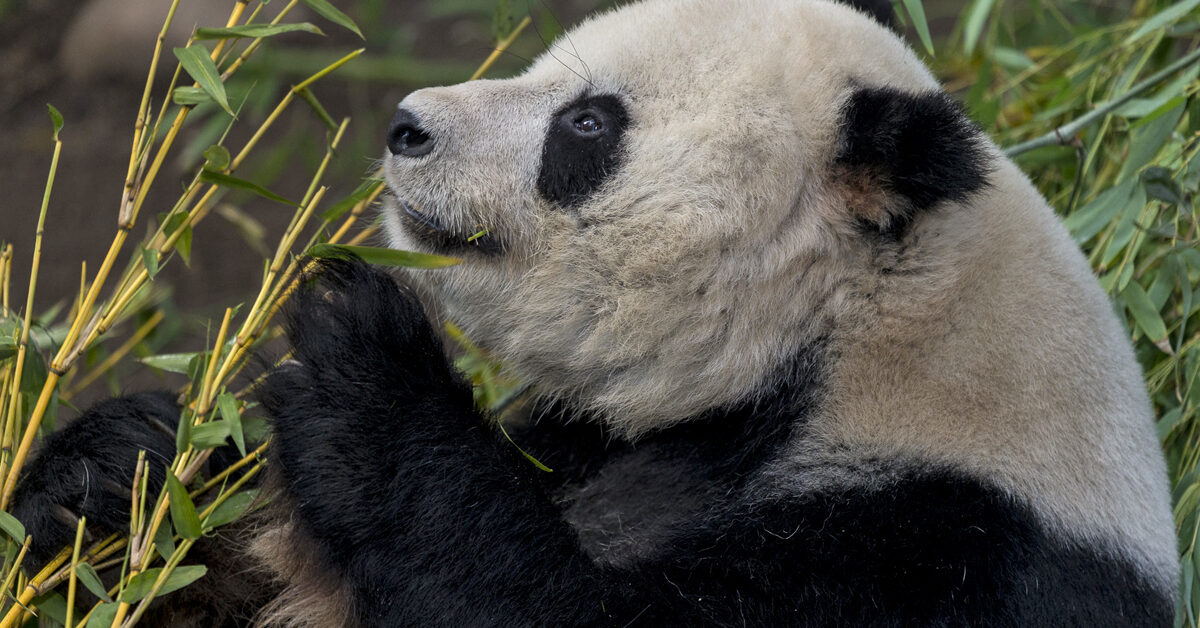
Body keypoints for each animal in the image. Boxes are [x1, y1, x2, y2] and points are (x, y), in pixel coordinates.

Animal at [11, 0, 1178, 625]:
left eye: (586, 123)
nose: (405, 125)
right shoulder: (585, 441)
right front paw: (124, 463)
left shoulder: (934, 551)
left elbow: (535, 601)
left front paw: (361, 357)